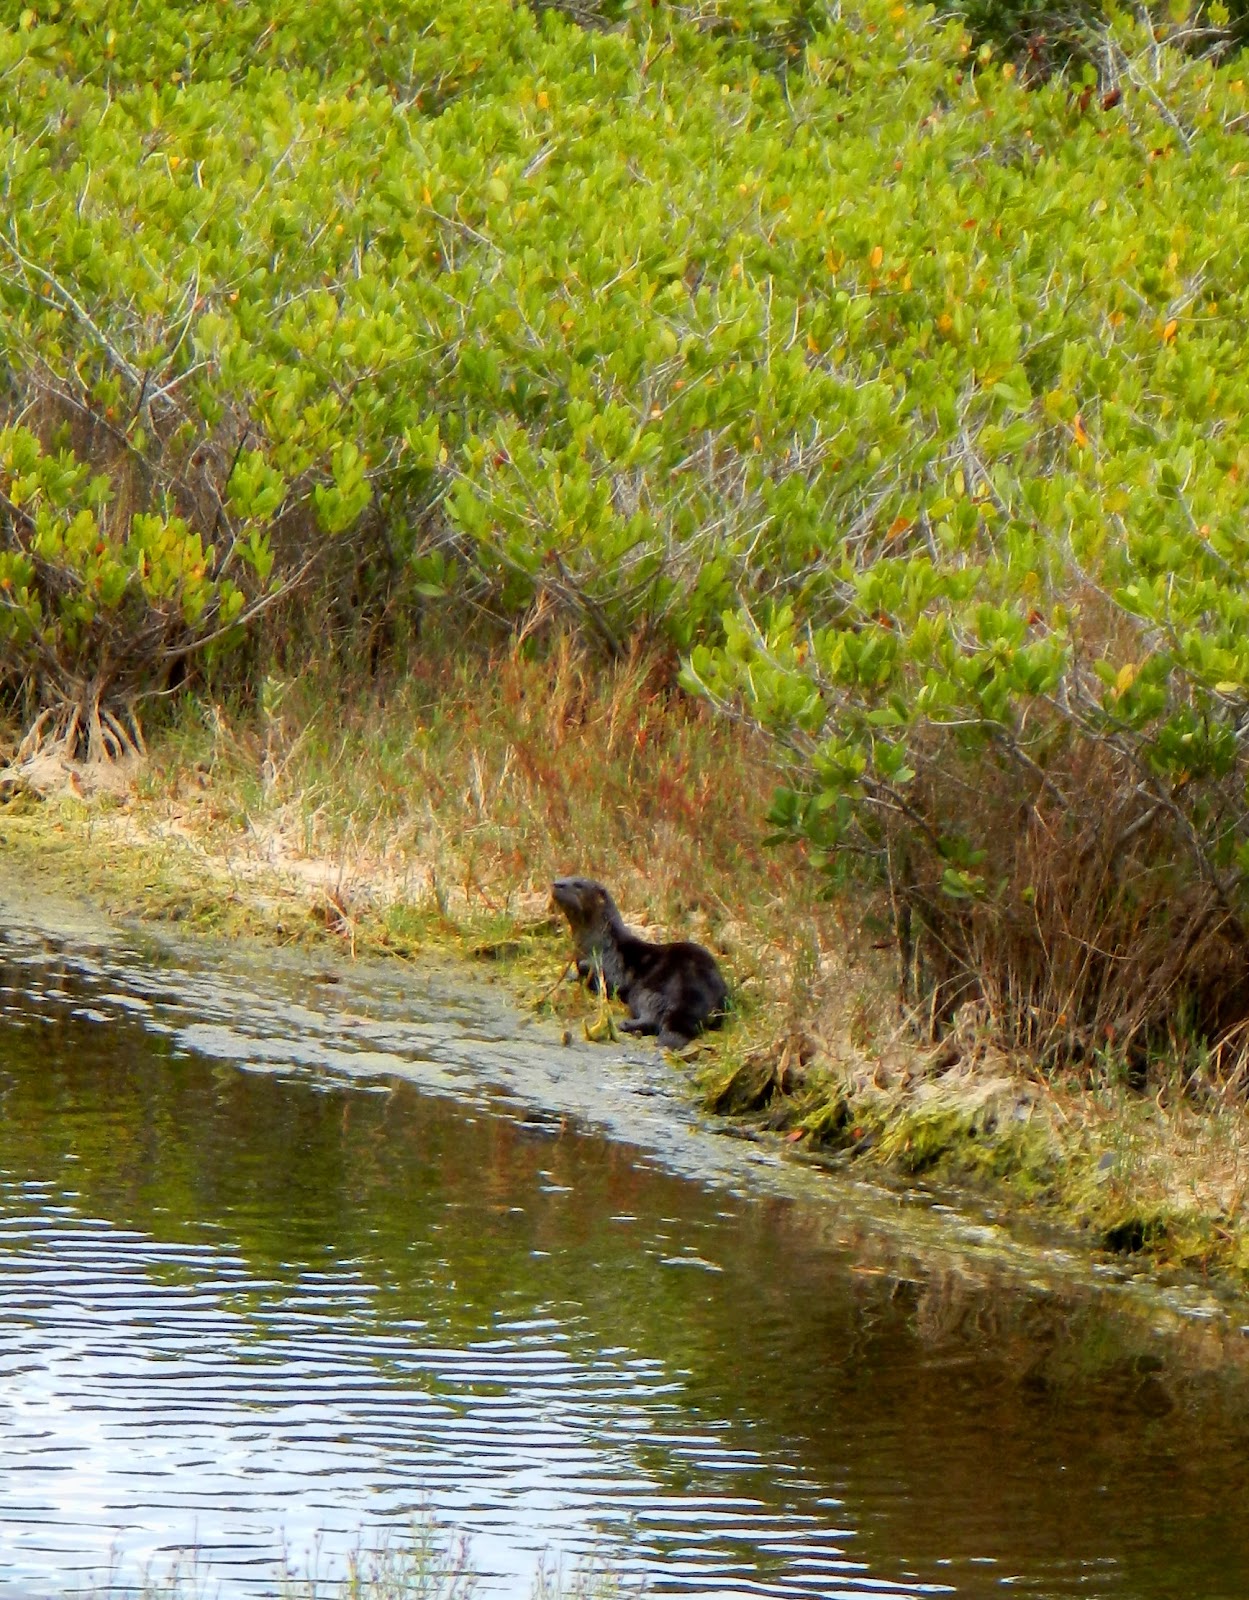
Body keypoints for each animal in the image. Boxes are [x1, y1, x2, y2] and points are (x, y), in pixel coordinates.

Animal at [551, 876, 728, 1049]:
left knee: (653, 1016)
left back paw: (626, 1025)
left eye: (578, 884)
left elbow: (609, 979)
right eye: (564, 878)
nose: (557, 883)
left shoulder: (614, 961)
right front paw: (571, 975)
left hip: (648, 989)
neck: (598, 943)